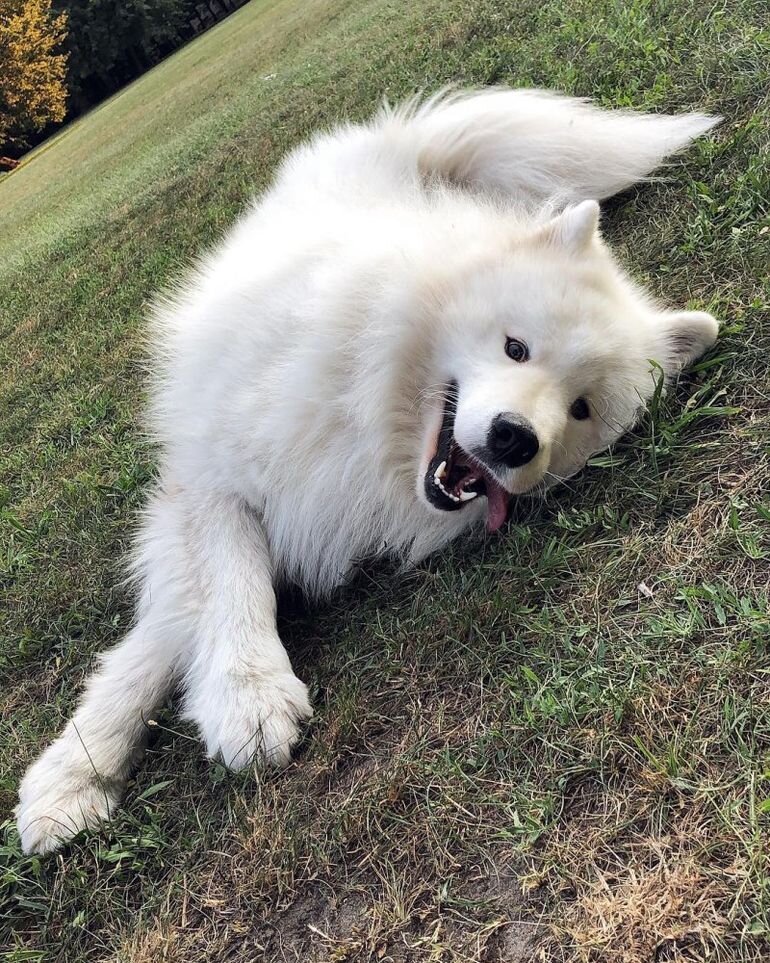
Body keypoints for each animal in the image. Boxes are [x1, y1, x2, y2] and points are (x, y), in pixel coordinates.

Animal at [15, 90, 716, 856]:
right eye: (516, 347)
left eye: (581, 409)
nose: (515, 439)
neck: (377, 421)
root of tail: (404, 153)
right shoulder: (213, 478)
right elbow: (219, 588)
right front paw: (233, 701)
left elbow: (185, 616)